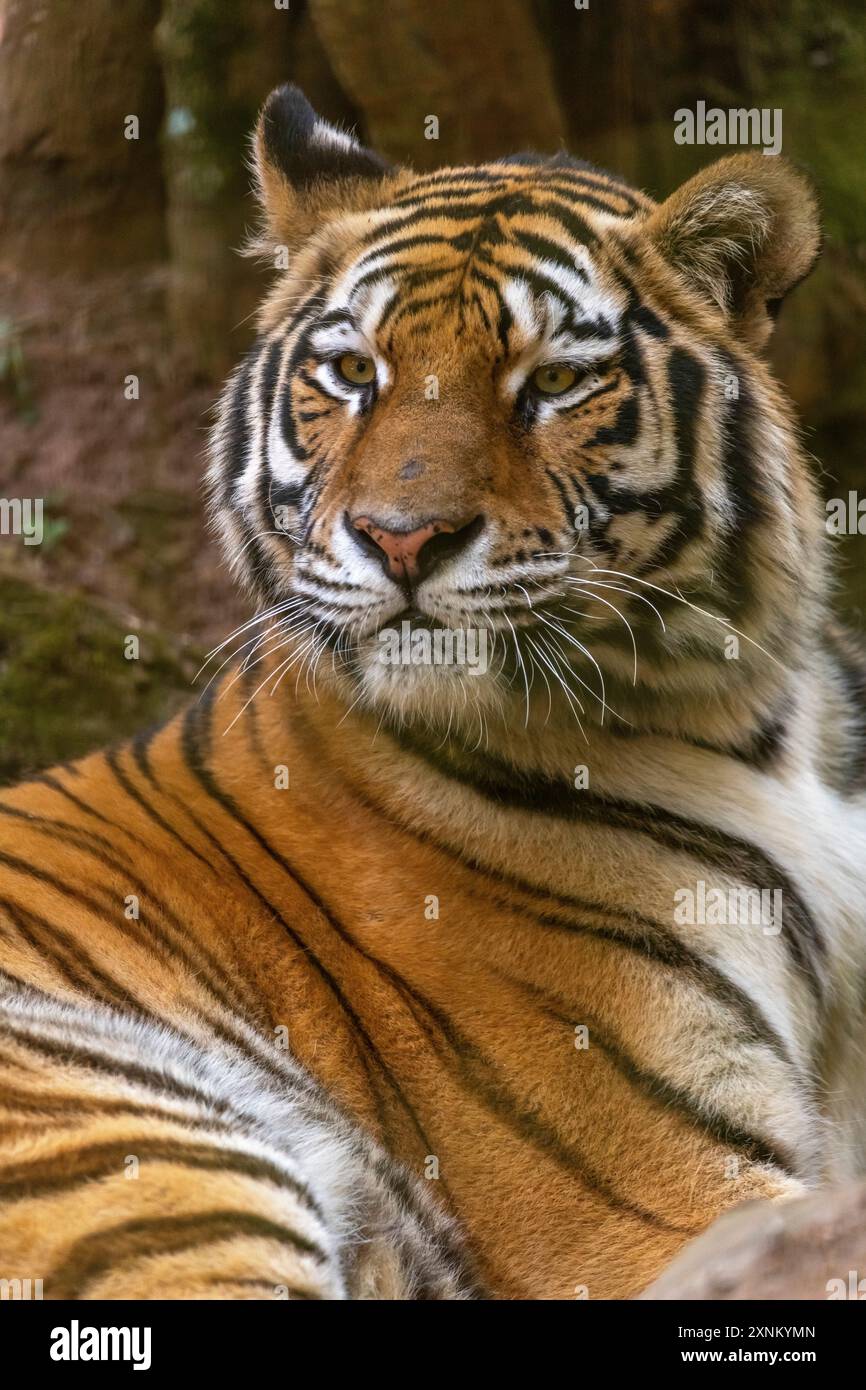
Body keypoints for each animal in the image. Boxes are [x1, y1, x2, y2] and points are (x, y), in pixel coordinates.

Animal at [1, 81, 865, 1302]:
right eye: (354, 372)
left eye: (554, 382)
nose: (402, 539)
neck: (754, 717)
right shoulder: (655, 1198)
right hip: (143, 1154)